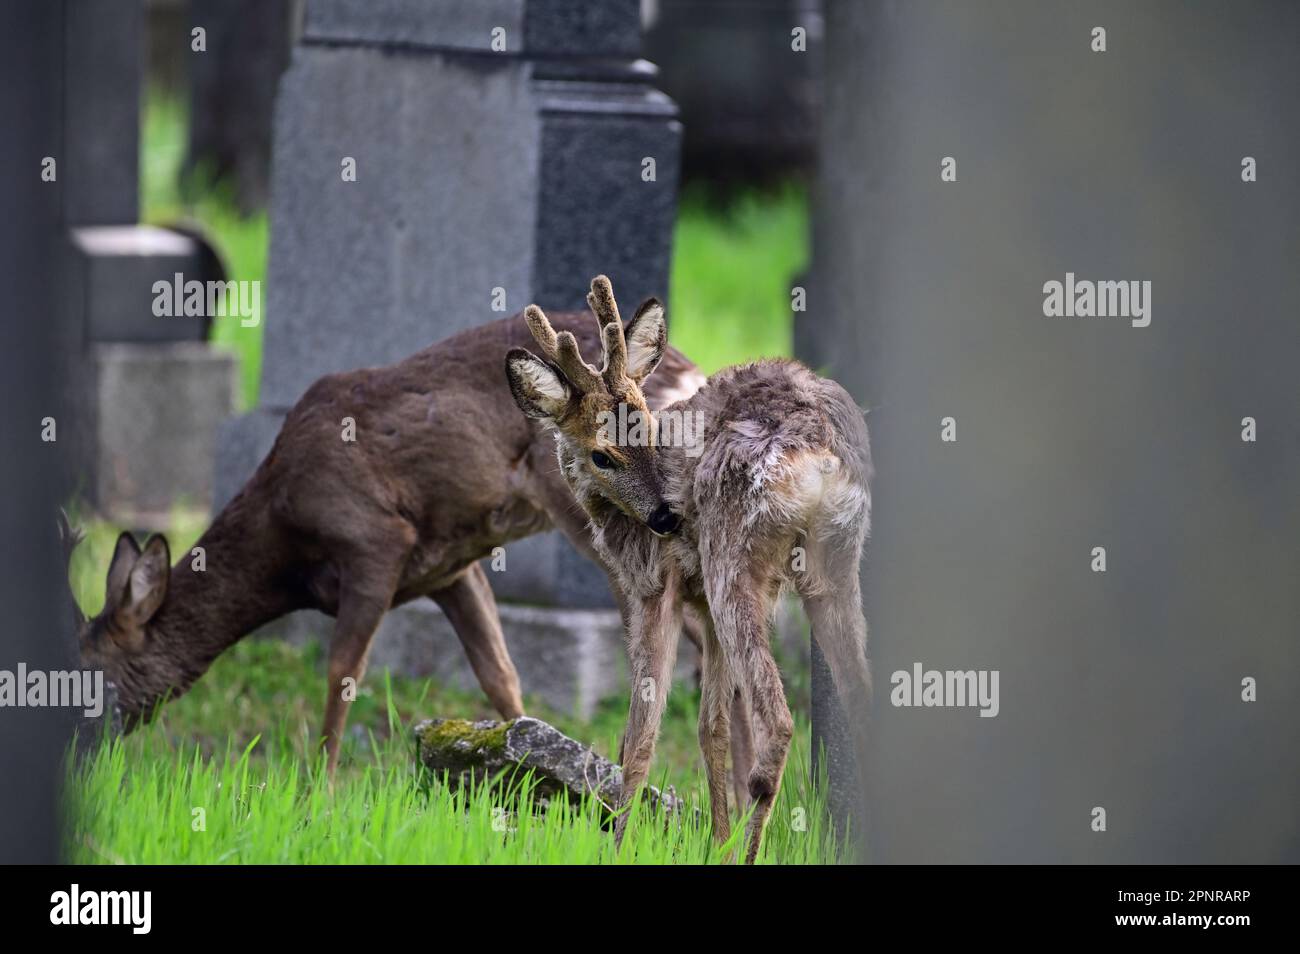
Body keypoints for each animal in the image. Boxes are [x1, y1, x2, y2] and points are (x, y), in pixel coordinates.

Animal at [65, 307, 755, 787]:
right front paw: (521, 758)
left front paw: (319, 789)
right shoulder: (449, 569)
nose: (75, 749)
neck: (285, 538)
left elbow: (343, 671)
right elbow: (499, 672)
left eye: (89, 675)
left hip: (598, 519)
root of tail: (689, 372)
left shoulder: (375, 539)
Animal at [504, 276, 873, 862]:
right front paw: (716, 841)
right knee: (862, 708)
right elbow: (712, 727)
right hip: (836, 563)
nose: (665, 517)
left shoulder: (653, 586)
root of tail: (821, 448)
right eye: (602, 454)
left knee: (779, 722)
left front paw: (620, 843)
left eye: (648, 430)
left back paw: (752, 851)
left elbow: (640, 733)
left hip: (731, 559)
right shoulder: (699, 601)